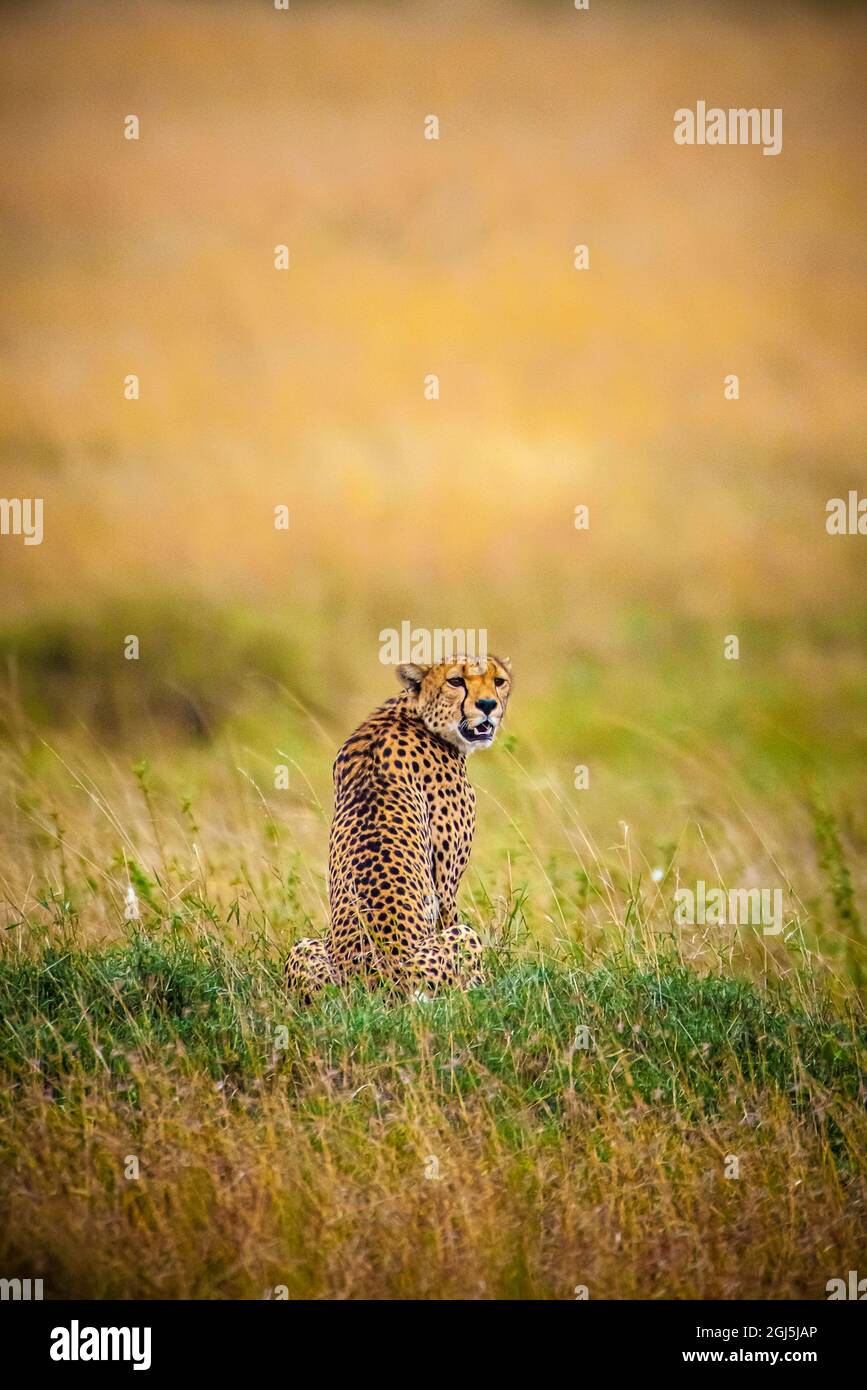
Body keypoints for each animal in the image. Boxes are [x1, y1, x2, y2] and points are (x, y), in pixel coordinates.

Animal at [286, 653, 512, 1000]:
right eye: (456, 681)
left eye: (498, 681)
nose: (488, 705)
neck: (412, 713)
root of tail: (373, 982)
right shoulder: (444, 885)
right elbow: (448, 910)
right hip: (462, 938)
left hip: (305, 948)